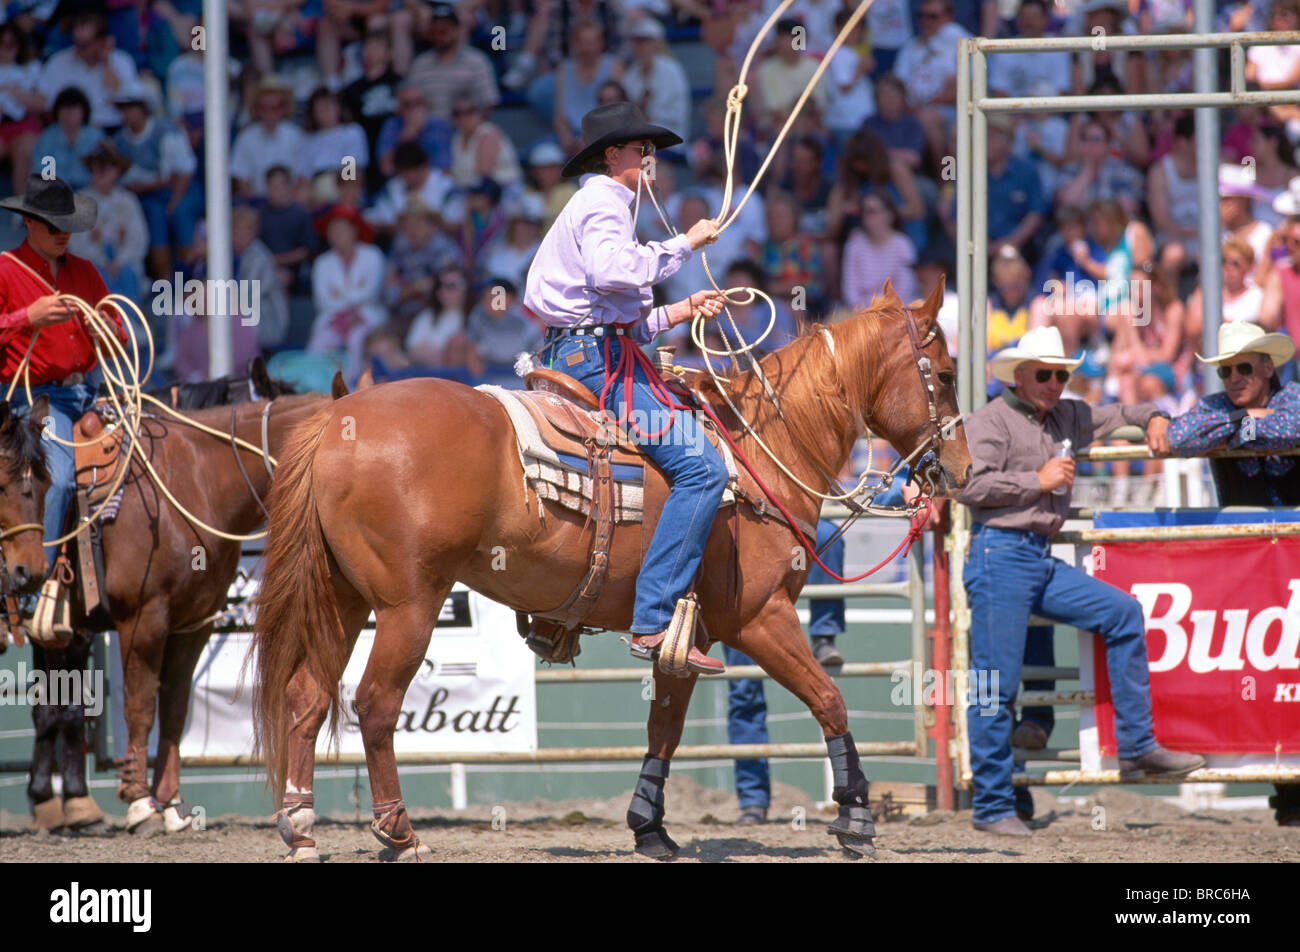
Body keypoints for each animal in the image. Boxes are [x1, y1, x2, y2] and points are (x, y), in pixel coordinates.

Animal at [8, 377, 338, 835]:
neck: (196, 482)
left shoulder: (192, 624)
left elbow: (172, 709)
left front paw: (170, 804)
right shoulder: (140, 619)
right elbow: (136, 705)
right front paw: (138, 802)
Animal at [252, 281, 970, 861]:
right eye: (942, 374)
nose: (960, 470)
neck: (765, 444)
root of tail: (339, 419)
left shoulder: (690, 632)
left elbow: (666, 728)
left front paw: (649, 828)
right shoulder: (758, 618)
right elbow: (829, 698)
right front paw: (856, 818)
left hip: (343, 599)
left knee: (307, 696)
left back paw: (301, 827)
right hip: (409, 605)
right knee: (374, 703)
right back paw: (398, 833)